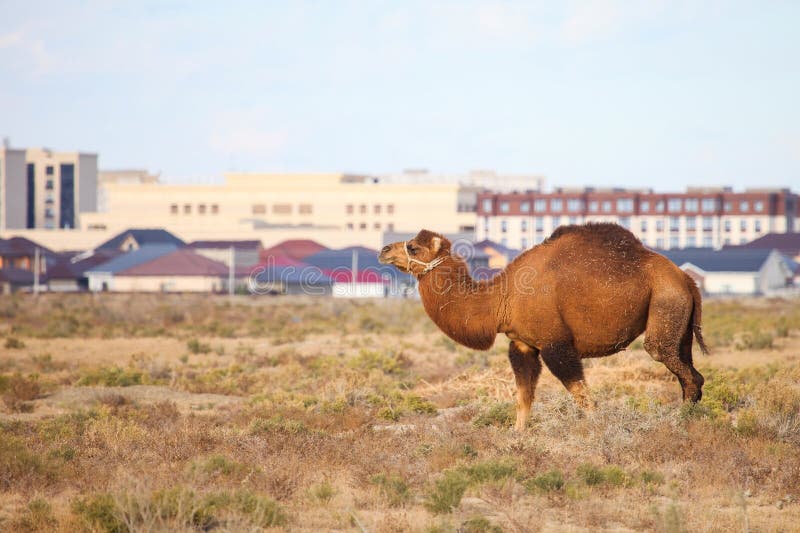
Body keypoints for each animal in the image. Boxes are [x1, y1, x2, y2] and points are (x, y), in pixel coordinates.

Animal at [378, 223, 708, 430]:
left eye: (413, 247)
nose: (383, 250)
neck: (500, 297)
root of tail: (686, 279)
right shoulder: (523, 344)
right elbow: (524, 397)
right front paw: (517, 438)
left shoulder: (555, 344)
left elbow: (583, 397)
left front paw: (597, 433)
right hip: (680, 324)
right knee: (691, 374)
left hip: (665, 302)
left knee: (681, 369)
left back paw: (679, 424)